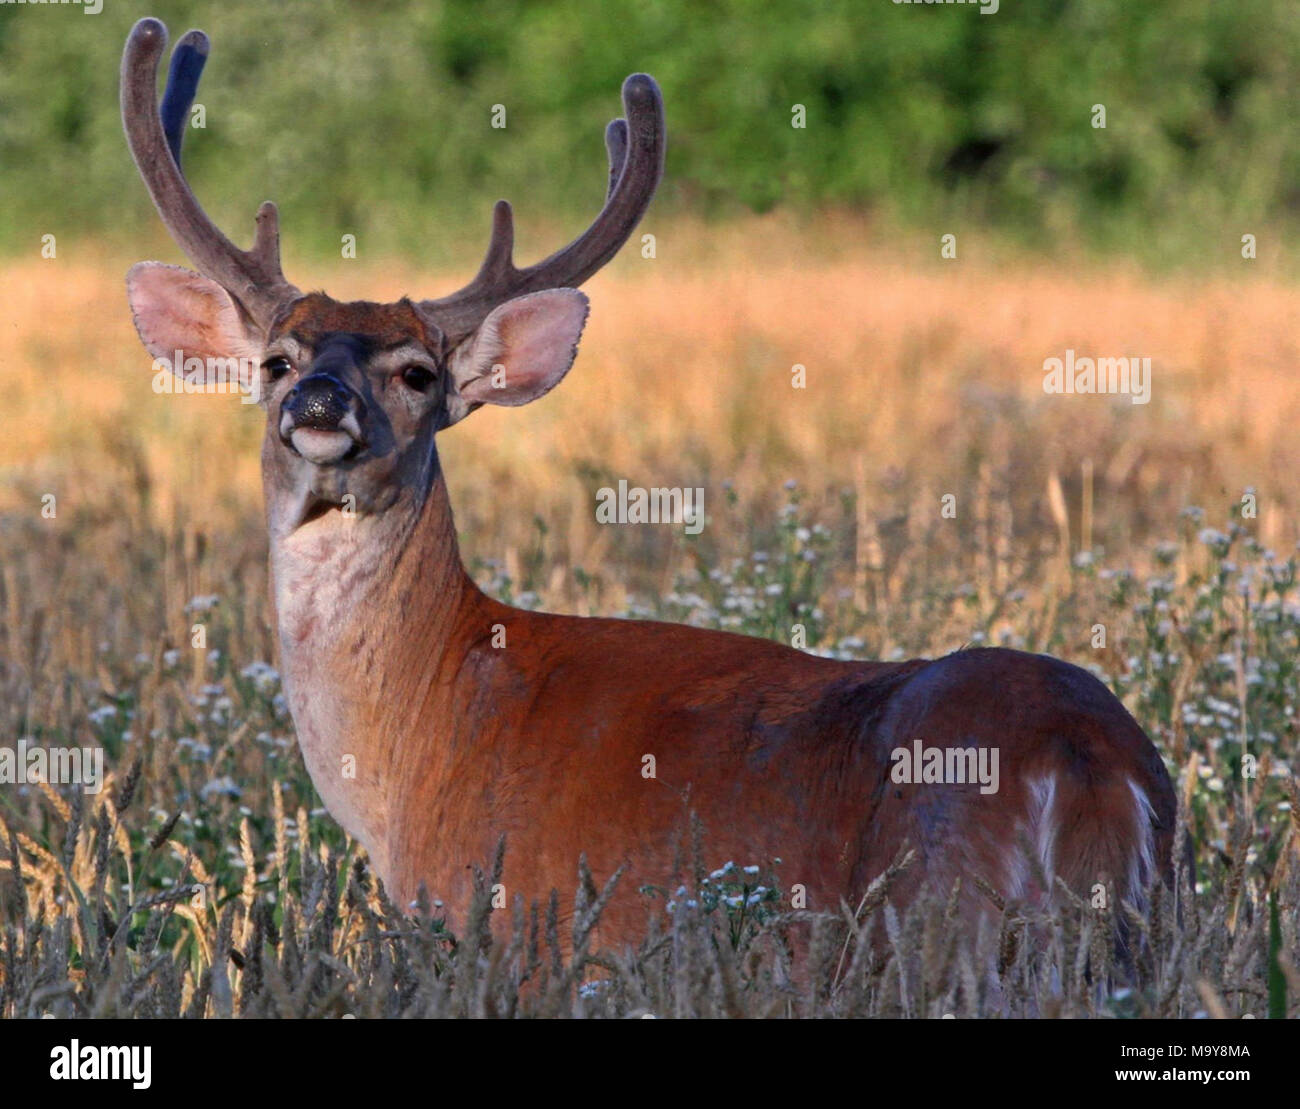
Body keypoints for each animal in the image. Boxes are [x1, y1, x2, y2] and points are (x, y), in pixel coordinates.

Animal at [121, 18, 1177, 955]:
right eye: (277, 359)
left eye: (417, 372)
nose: (322, 399)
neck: (426, 723)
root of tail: (1088, 757)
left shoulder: (517, 931)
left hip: (936, 920)